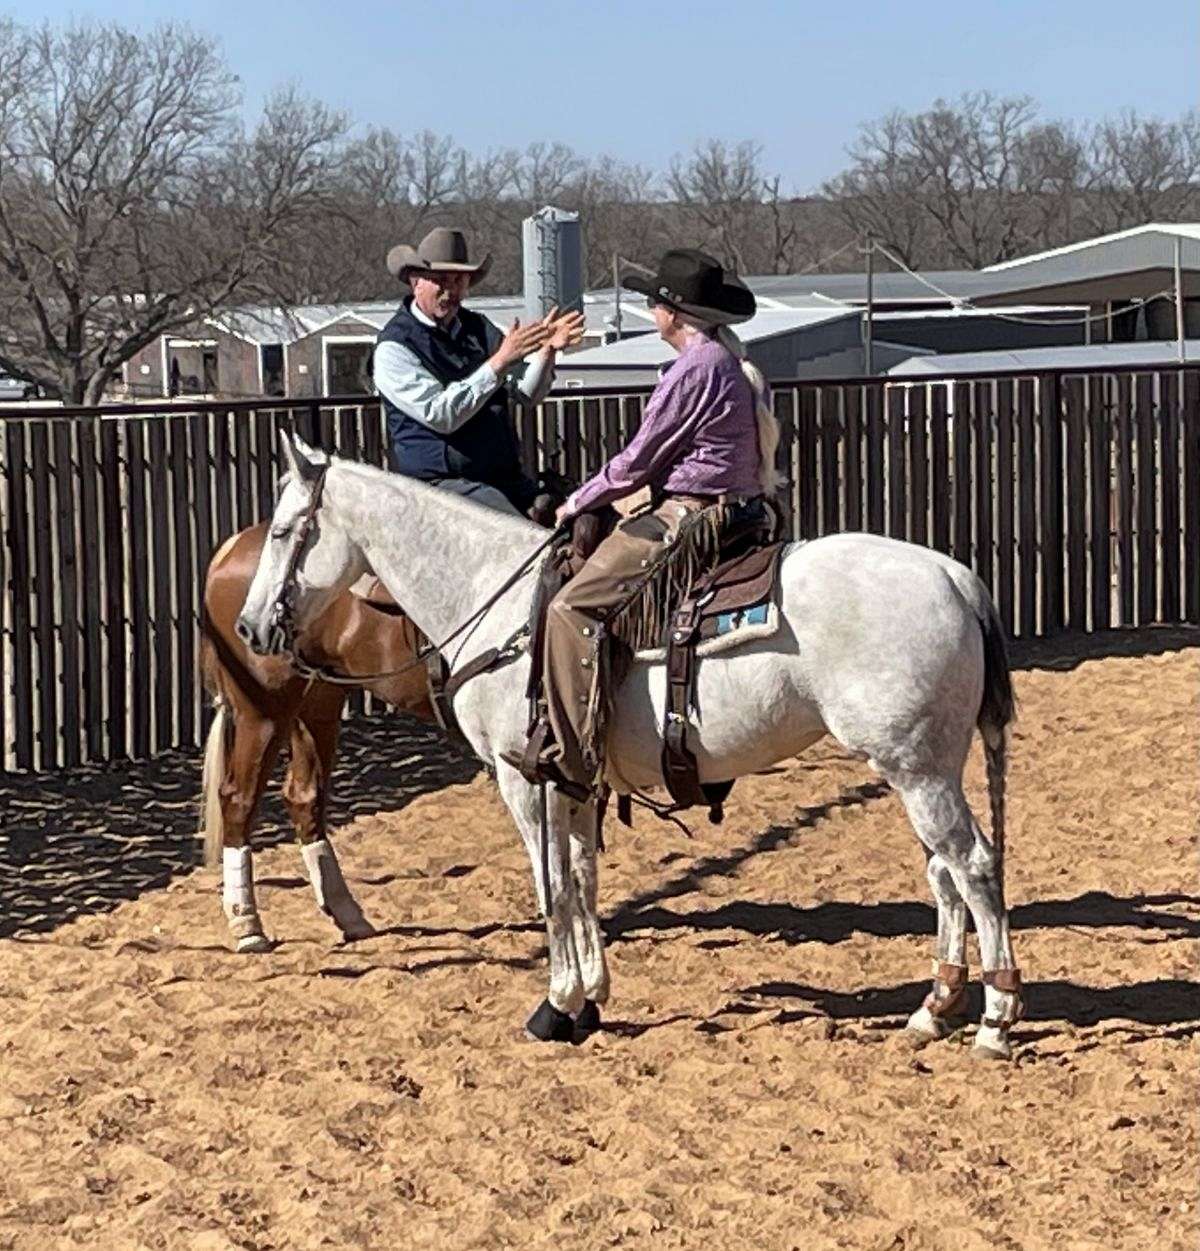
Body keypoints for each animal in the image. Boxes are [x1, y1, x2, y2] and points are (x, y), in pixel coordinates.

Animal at [199, 521, 434, 952]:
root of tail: (232, 548)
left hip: (317, 703)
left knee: (303, 797)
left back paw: (347, 913)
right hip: (265, 711)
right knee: (239, 799)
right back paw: (247, 925)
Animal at [235, 436, 1024, 1060]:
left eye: (283, 531)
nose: (248, 627)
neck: (497, 599)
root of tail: (955, 576)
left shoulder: (524, 780)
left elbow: (551, 887)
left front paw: (556, 1003)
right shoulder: (575, 777)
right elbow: (583, 881)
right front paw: (589, 1000)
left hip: (918, 770)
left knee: (974, 866)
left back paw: (995, 1018)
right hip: (922, 767)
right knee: (944, 875)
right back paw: (934, 1008)